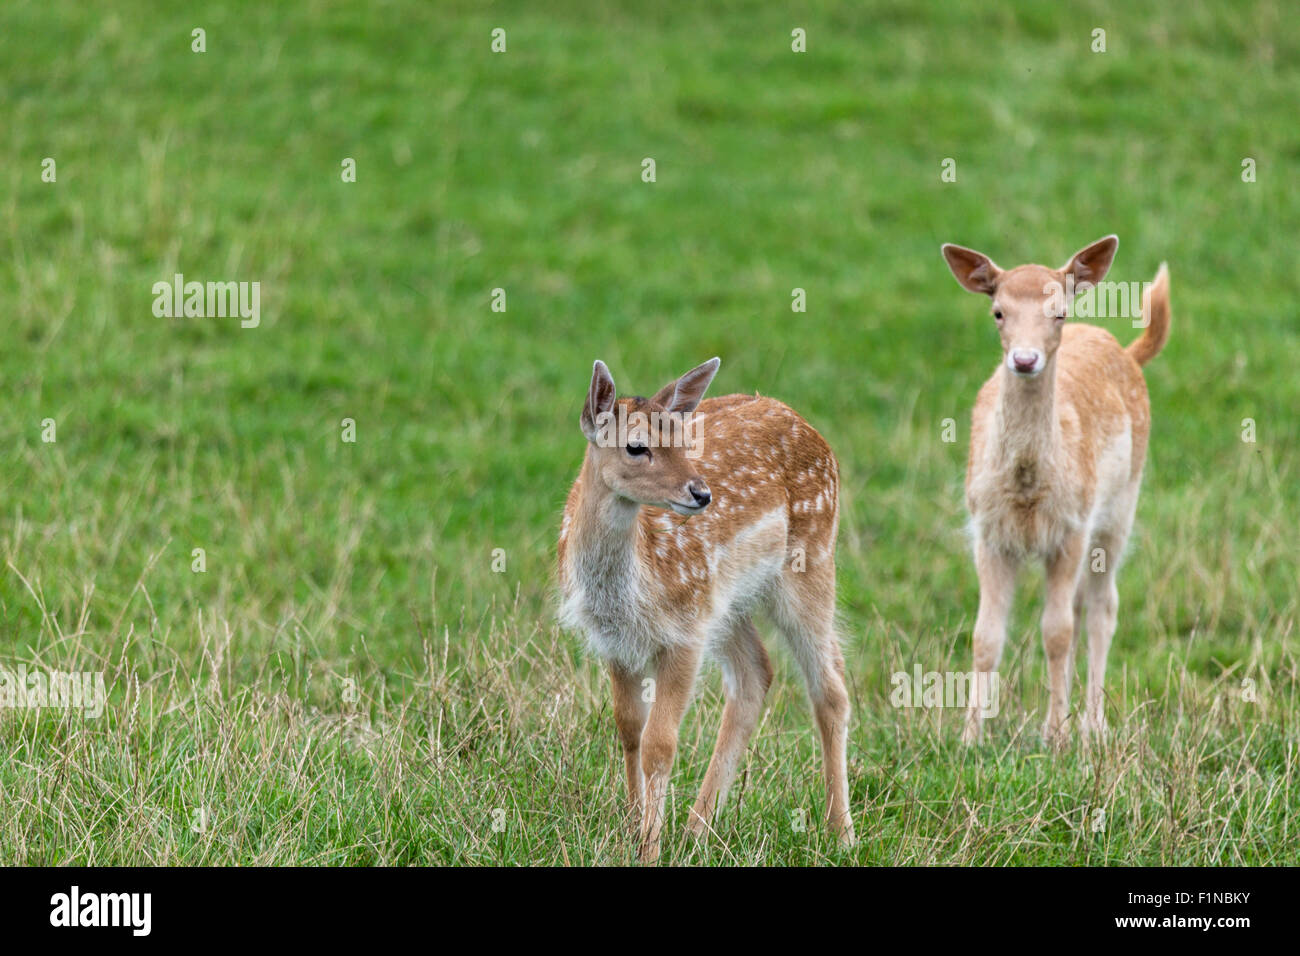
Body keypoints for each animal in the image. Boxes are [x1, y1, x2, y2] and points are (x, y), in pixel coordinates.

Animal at [558, 357, 854, 863]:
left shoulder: (684, 633)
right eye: (636, 446)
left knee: (830, 684)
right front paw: (632, 827)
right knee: (756, 672)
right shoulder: (615, 641)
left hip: (810, 559)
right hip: (725, 602)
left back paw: (841, 833)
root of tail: (812, 430)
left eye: (682, 440)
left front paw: (648, 849)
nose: (701, 494)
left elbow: (660, 743)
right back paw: (698, 828)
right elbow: (629, 728)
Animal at [940, 236, 1170, 748]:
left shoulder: (1072, 527)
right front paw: (969, 738)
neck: (1027, 487)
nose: (1025, 360)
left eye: (1059, 312)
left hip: (1121, 507)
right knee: (1083, 605)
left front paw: (1056, 739)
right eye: (998, 312)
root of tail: (1127, 351)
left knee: (1102, 608)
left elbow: (1057, 633)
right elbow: (985, 635)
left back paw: (1091, 725)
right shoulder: (987, 530)